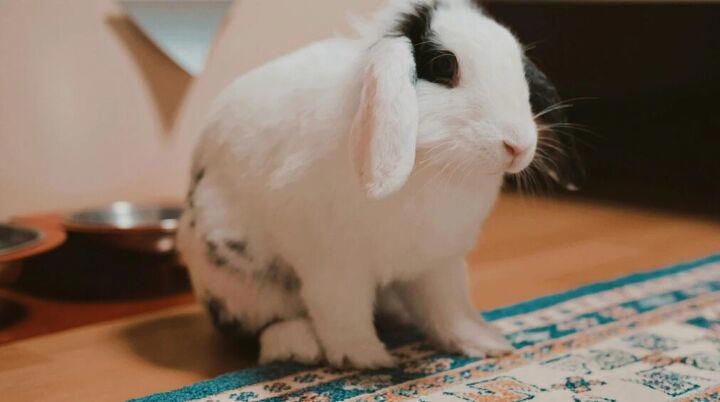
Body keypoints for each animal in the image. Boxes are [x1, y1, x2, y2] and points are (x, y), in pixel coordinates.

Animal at [177, 0, 569, 369]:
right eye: (445, 66)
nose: (518, 145)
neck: (433, 166)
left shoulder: (438, 263)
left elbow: (450, 308)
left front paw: (487, 344)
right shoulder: (334, 263)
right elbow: (342, 312)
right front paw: (366, 359)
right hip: (240, 280)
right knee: (266, 323)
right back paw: (299, 345)